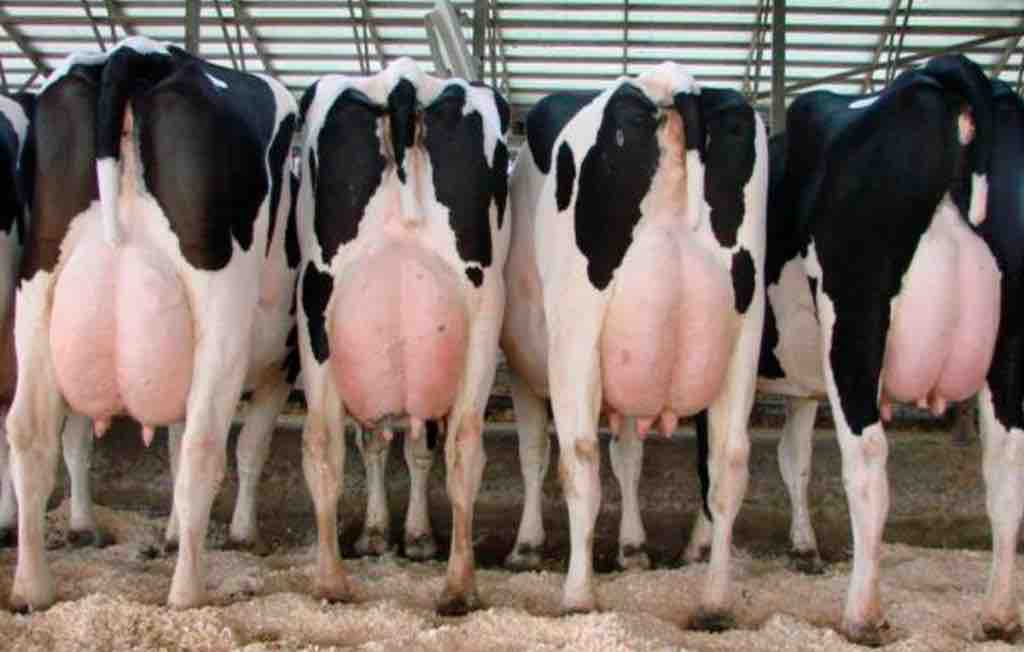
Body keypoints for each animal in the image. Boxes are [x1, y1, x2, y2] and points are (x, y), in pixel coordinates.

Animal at [6, 36, 298, 611]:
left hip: (37, 291)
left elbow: (172, 441)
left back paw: (32, 587)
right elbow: (247, 446)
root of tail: (140, 52)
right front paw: (241, 534)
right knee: (205, 448)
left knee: (29, 435)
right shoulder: (284, 364)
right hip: (221, 313)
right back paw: (188, 592)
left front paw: (171, 533)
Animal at [294, 58, 510, 613]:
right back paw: (454, 587)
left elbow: (391, 442)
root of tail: (402, 78)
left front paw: (397, 535)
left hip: (317, 310)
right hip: (477, 320)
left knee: (326, 445)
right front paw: (394, 534)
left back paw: (336, 581)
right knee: (462, 447)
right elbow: (400, 443)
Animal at [500, 62, 768, 627]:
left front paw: (526, 547)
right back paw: (715, 601)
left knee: (579, 460)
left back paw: (577, 594)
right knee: (729, 464)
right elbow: (629, 456)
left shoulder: (523, 369)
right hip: (744, 337)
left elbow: (534, 453)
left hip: (577, 335)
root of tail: (670, 82)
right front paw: (634, 548)